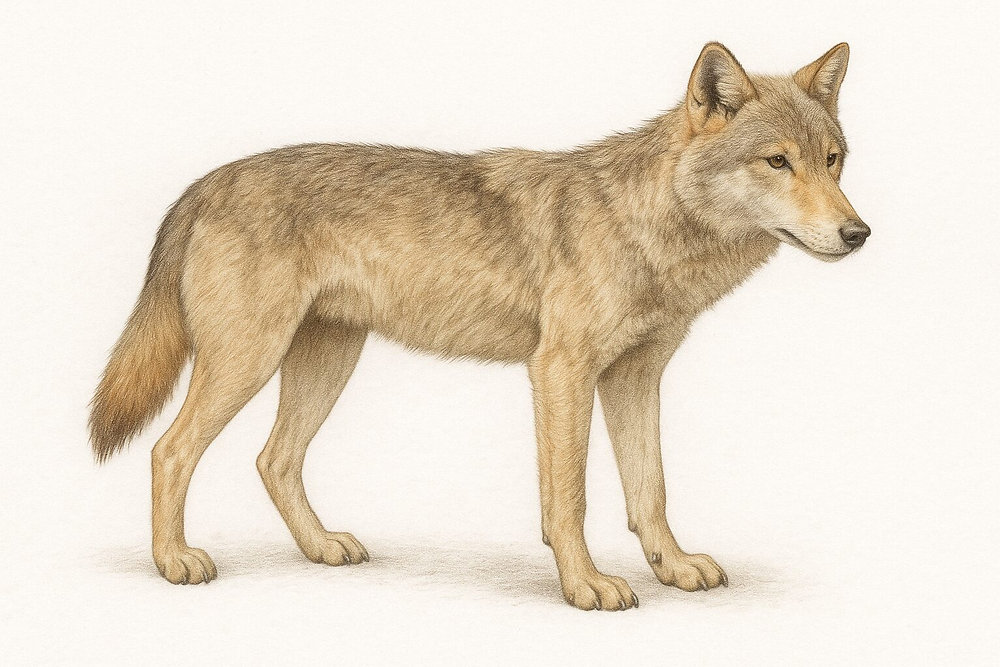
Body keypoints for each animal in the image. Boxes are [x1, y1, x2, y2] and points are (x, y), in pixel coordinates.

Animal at [90, 42, 869, 610]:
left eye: (833, 161)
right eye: (777, 162)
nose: (858, 233)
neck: (648, 227)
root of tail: (204, 183)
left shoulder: (635, 378)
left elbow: (651, 490)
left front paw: (672, 567)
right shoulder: (561, 372)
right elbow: (570, 498)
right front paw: (586, 586)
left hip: (324, 363)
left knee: (272, 460)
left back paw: (321, 548)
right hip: (247, 363)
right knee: (169, 451)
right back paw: (174, 561)